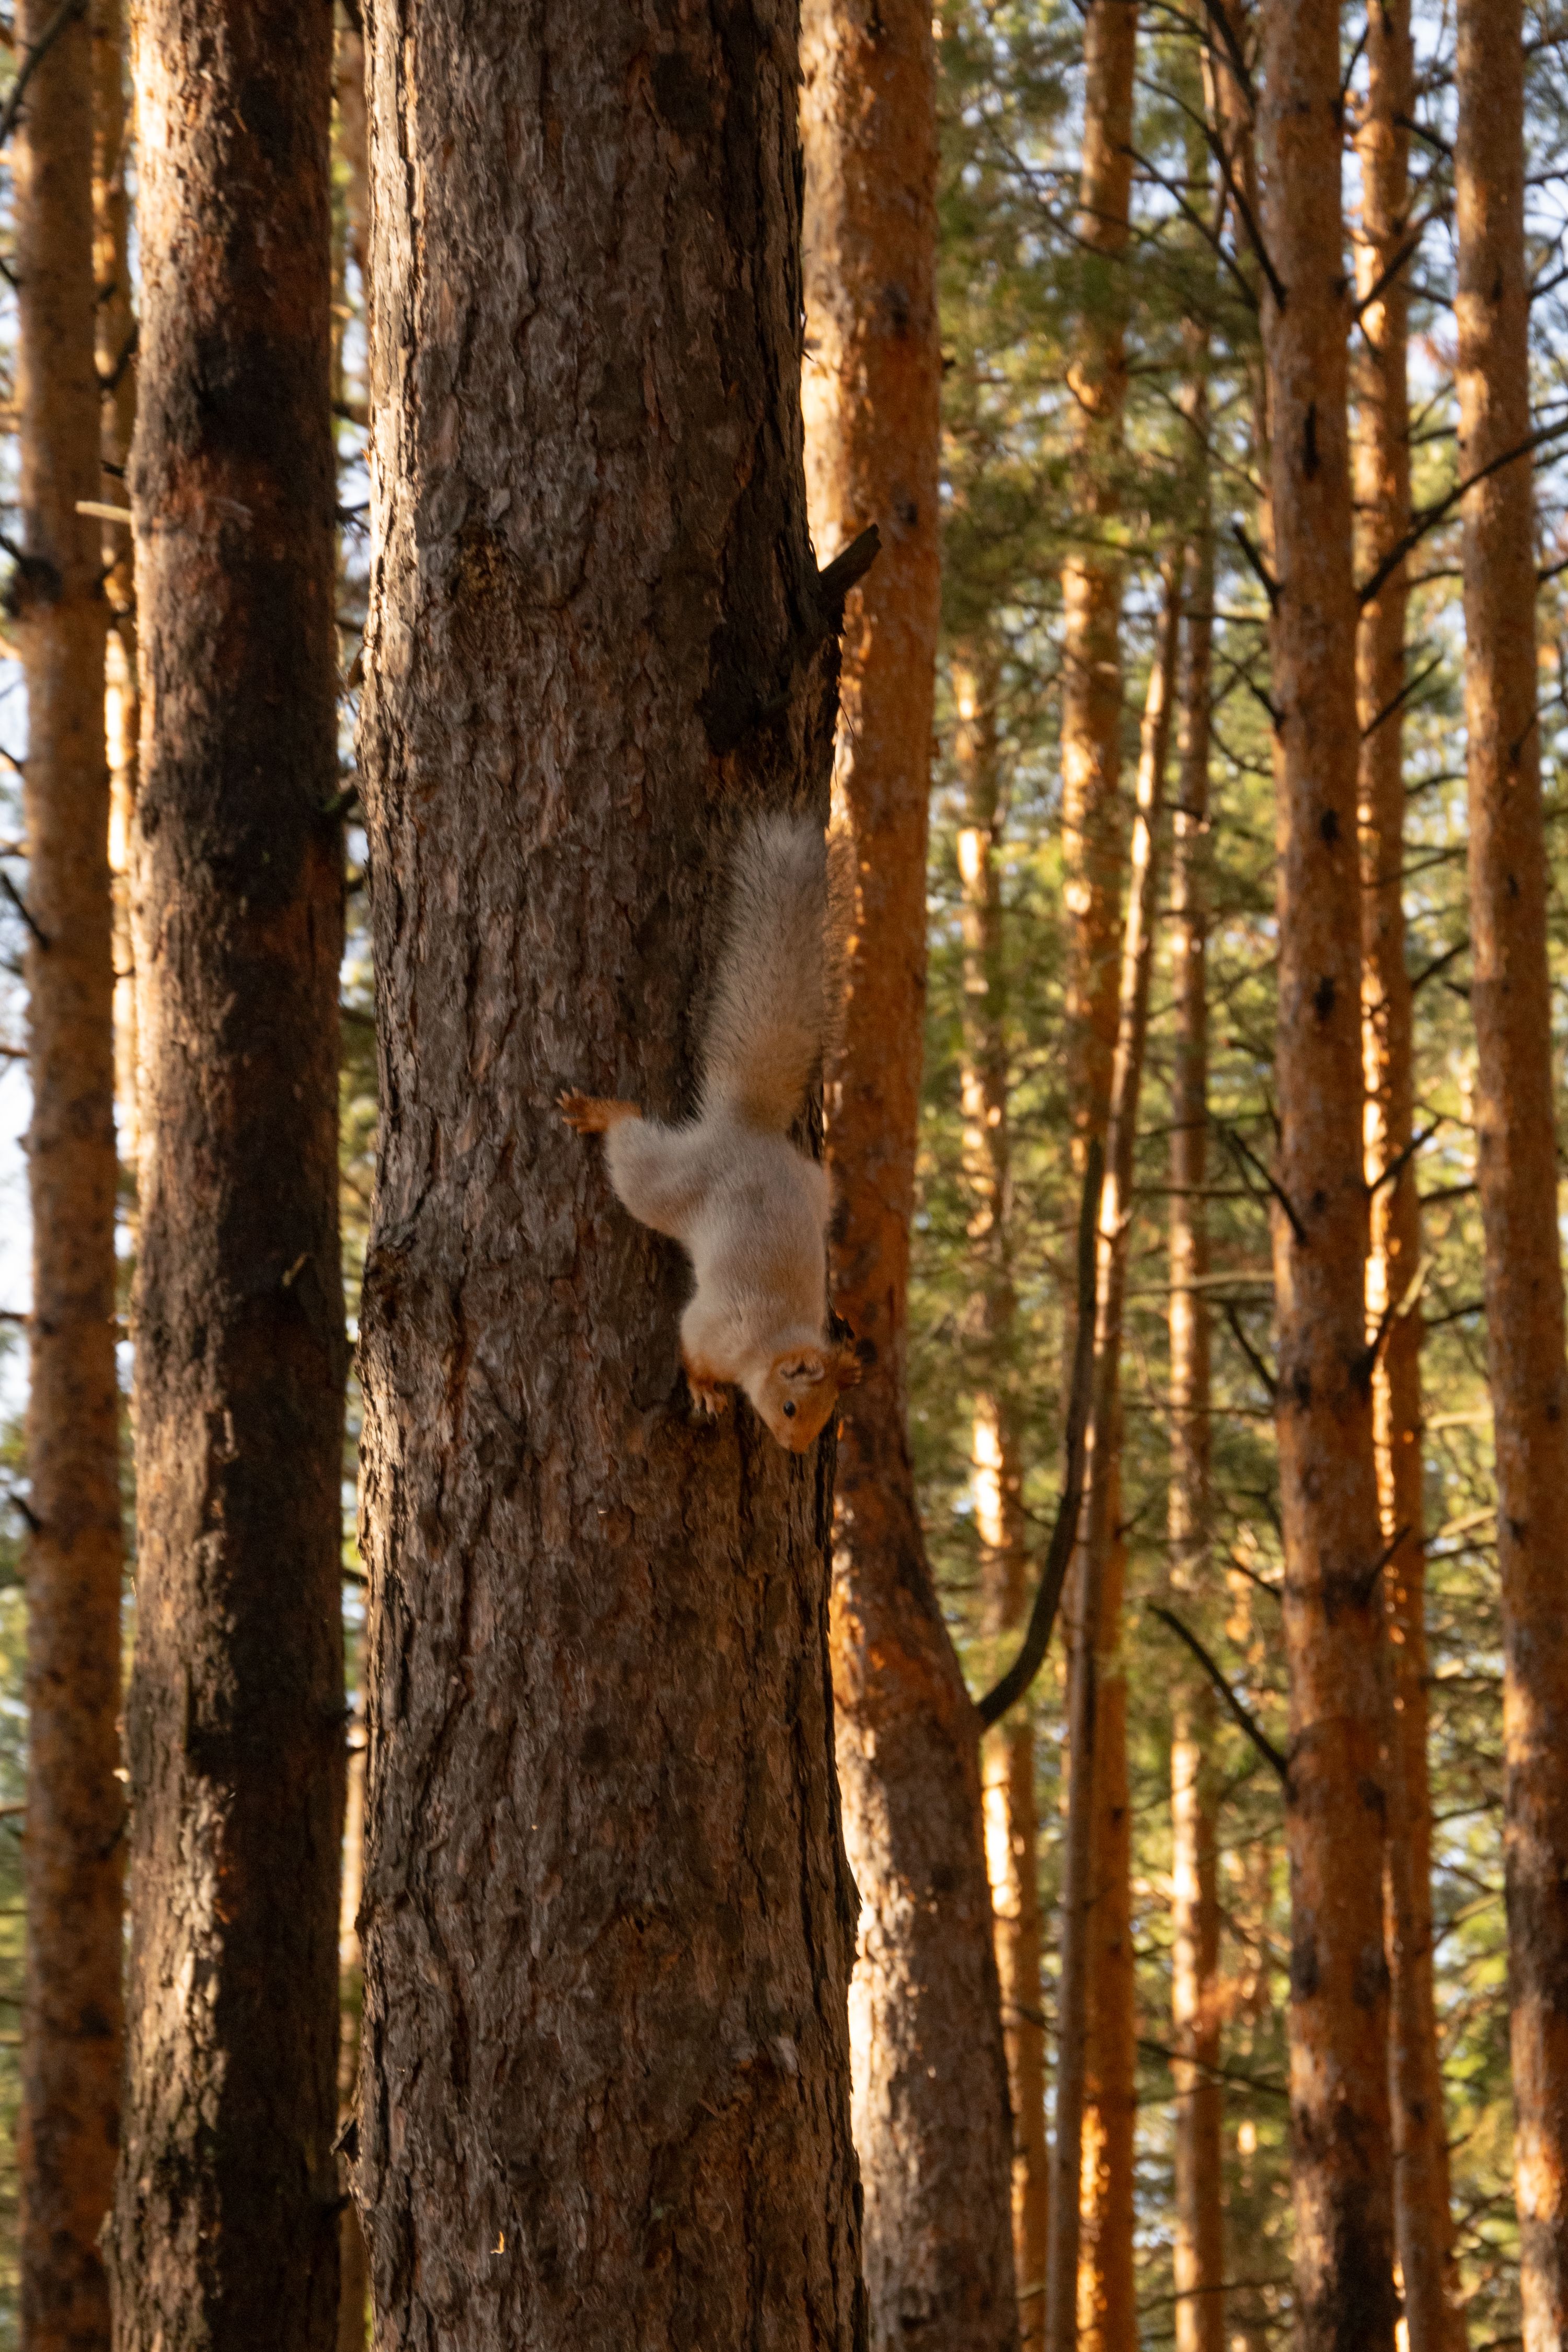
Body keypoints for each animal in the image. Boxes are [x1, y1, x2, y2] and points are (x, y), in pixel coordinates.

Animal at [560, 811, 859, 1454]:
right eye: (792, 1406)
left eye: (827, 1418)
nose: (796, 1450)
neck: (774, 1340)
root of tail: (750, 1131)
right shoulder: (715, 1326)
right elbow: (691, 1348)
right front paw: (704, 1390)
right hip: (673, 1181)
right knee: (633, 1159)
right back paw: (604, 1114)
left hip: (815, 1186)